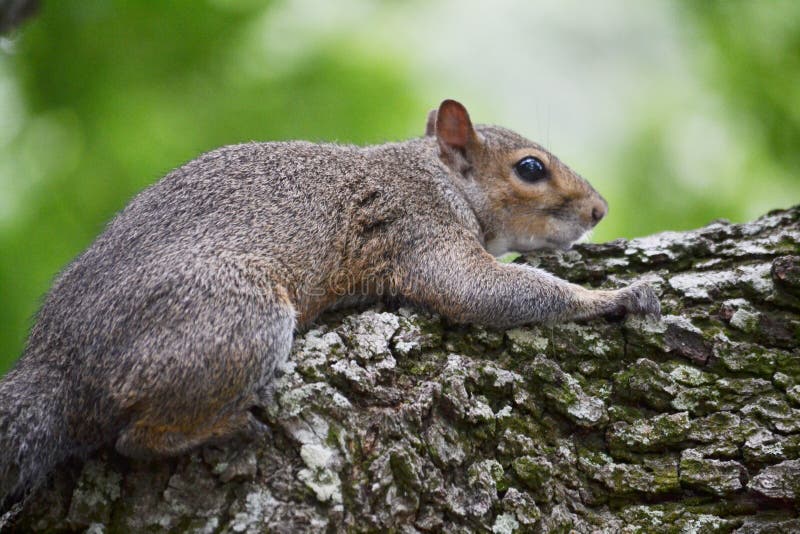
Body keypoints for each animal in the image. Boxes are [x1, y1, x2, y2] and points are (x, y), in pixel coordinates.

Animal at [0, 99, 659, 507]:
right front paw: (617, 295)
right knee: (136, 439)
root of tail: (57, 365)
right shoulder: (419, 227)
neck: (436, 175)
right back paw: (229, 426)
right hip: (237, 314)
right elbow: (485, 289)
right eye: (530, 168)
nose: (599, 210)